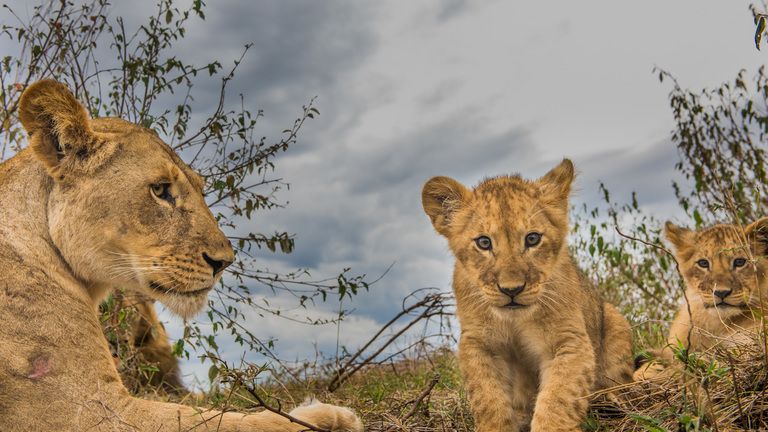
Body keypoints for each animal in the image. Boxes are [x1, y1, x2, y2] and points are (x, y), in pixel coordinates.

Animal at [0, 79, 362, 431]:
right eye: (160, 190)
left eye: (201, 190)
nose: (224, 262)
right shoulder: (81, 409)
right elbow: (224, 421)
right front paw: (331, 415)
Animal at [421, 159, 634, 432]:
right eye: (484, 243)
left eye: (532, 238)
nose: (511, 290)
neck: (515, 320)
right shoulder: (479, 343)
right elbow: (488, 399)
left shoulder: (568, 340)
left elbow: (558, 400)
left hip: (616, 320)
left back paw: (611, 403)